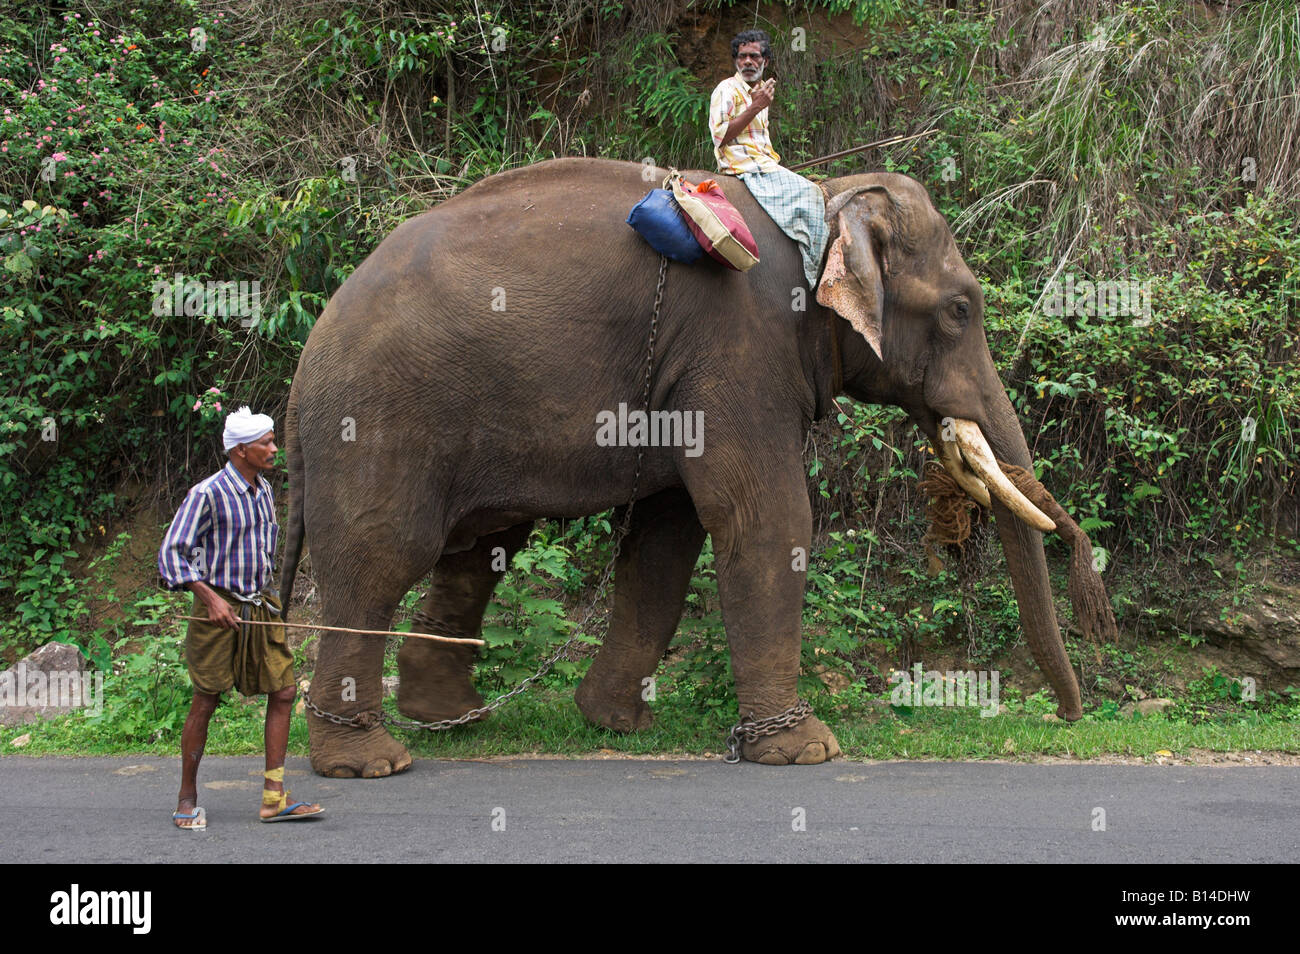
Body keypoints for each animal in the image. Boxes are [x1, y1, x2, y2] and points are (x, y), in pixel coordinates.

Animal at [280, 156, 1101, 778]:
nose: (1069, 719)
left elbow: (665, 540)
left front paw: (615, 725)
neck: (824, 201)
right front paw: (804, 752)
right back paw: (370, 760)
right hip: (382, 416)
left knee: (483, 546)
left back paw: (449, 718)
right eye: (961, 310)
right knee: (384, 554)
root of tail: (306, 357)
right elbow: (764, 520)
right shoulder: (740, 348)